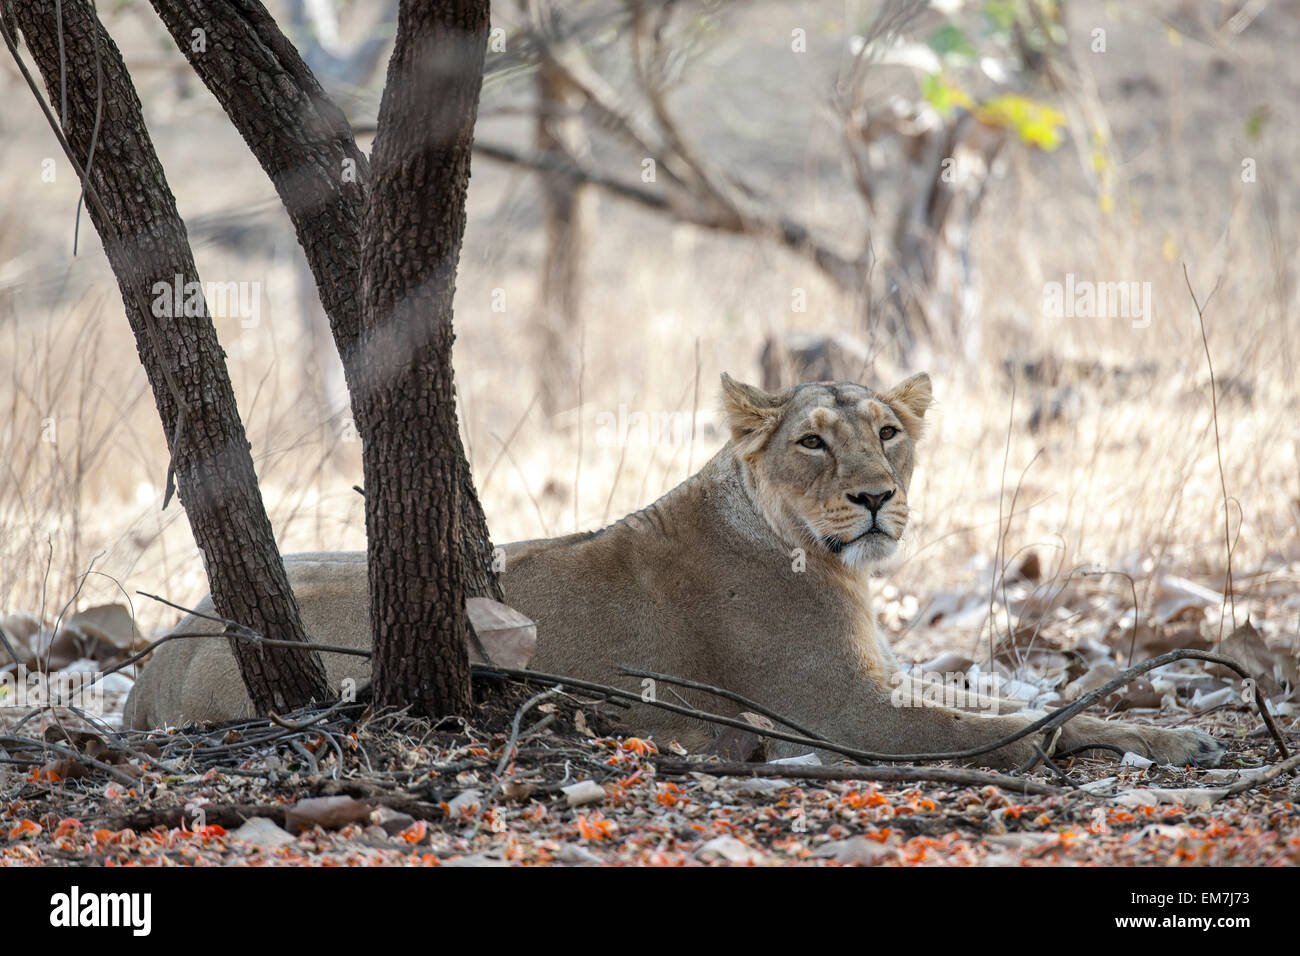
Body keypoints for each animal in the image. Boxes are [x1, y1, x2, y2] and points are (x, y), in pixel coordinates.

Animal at [124, 373, 1224, 770]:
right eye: (812, 443)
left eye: (887, 432)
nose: (876, 496)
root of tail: (162, 650)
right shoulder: (844, 716)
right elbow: (1016, 724)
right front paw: (1123, 735)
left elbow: (1019, 694)